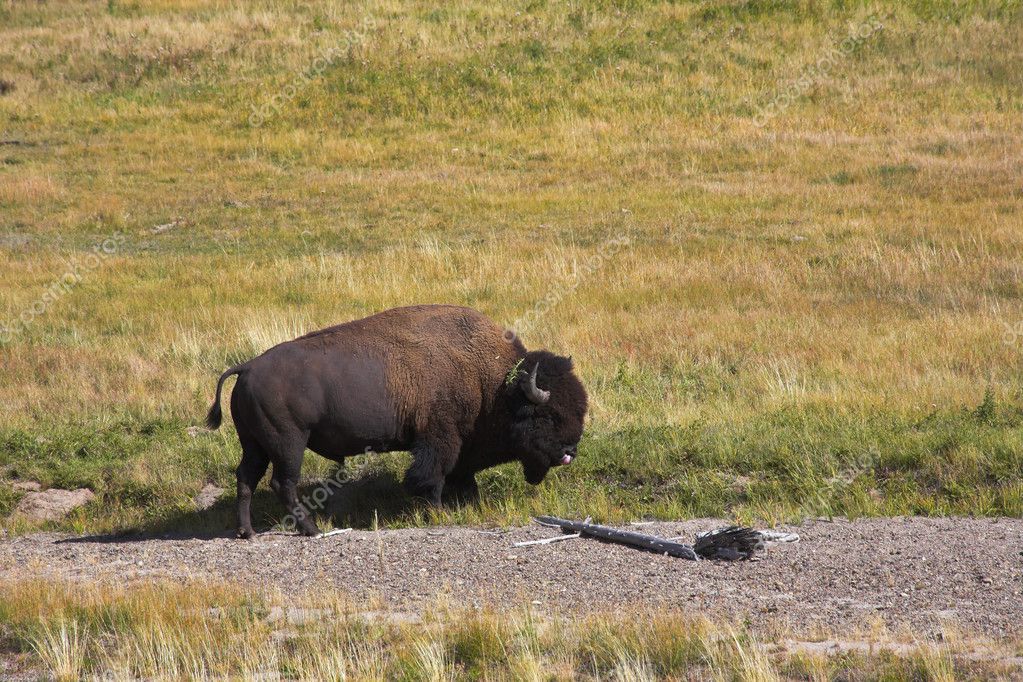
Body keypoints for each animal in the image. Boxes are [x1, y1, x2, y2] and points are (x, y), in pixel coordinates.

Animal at [205, 305, 588, 538]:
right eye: (549, 415)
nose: (570, 451)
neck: (495, 384)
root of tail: (247, 368)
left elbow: (462, 476)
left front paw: (468, 503)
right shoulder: (438, 438)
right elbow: (432, 477)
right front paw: (438, 512)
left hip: (255, 445)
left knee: (246, 479)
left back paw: (247, 533)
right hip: (289, 444)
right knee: (282, 483)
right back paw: (312, 530)